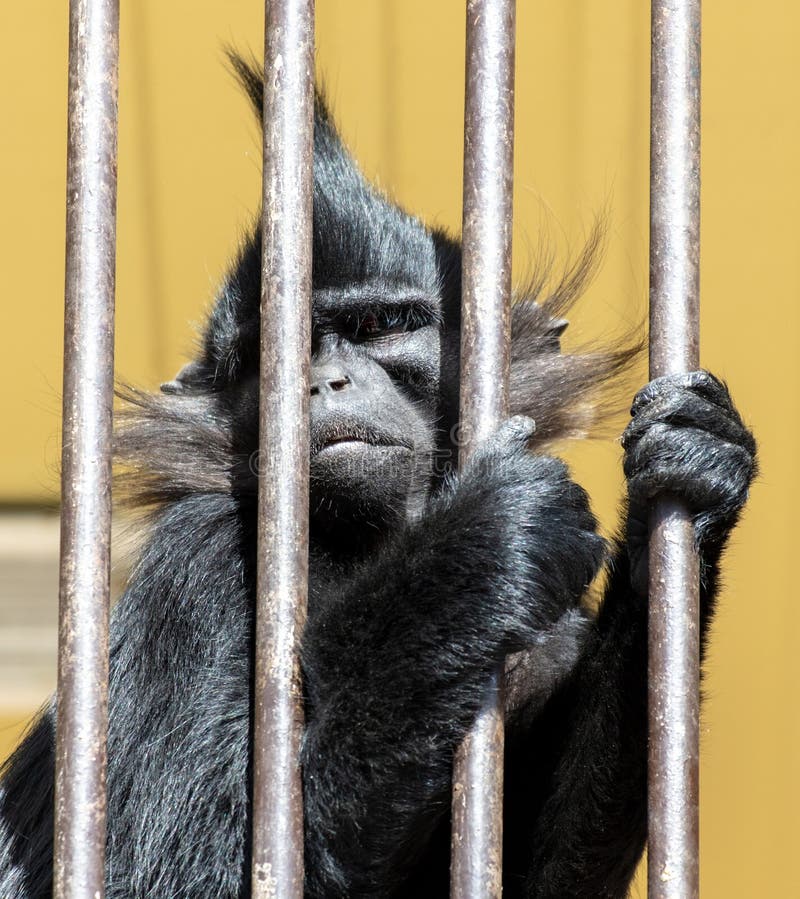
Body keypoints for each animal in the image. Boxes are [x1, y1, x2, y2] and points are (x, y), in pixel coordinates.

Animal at [0, 61, 756, 898]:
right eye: (266, 360)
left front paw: (695, 469)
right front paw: (478, 551)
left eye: (383, 326)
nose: (321, 381)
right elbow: (161, 876)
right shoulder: (196, 564)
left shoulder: (557, 639)